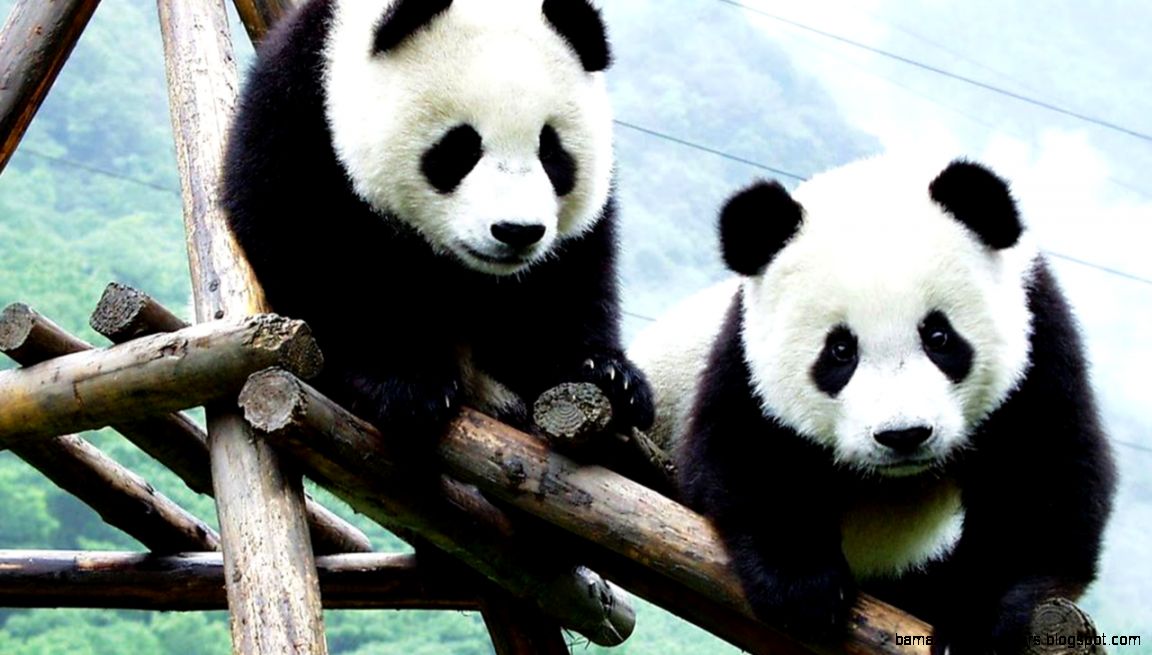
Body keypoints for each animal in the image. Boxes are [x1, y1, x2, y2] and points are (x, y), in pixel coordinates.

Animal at [222, 0, 652, 442]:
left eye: (550, 152)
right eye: (460, 148)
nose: (516, 232)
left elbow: (571, 277)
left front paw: (606, 373)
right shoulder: (300, 120)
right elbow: (314, 254)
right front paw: (406, 381)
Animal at [629, 155, 1116, 654]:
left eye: (939, 336)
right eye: (840, 351)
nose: (904, 435)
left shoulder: (1039, 338)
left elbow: (1042, 477)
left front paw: (974, 624)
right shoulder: (744, 356)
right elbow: (743, 453)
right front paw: (804, 591)